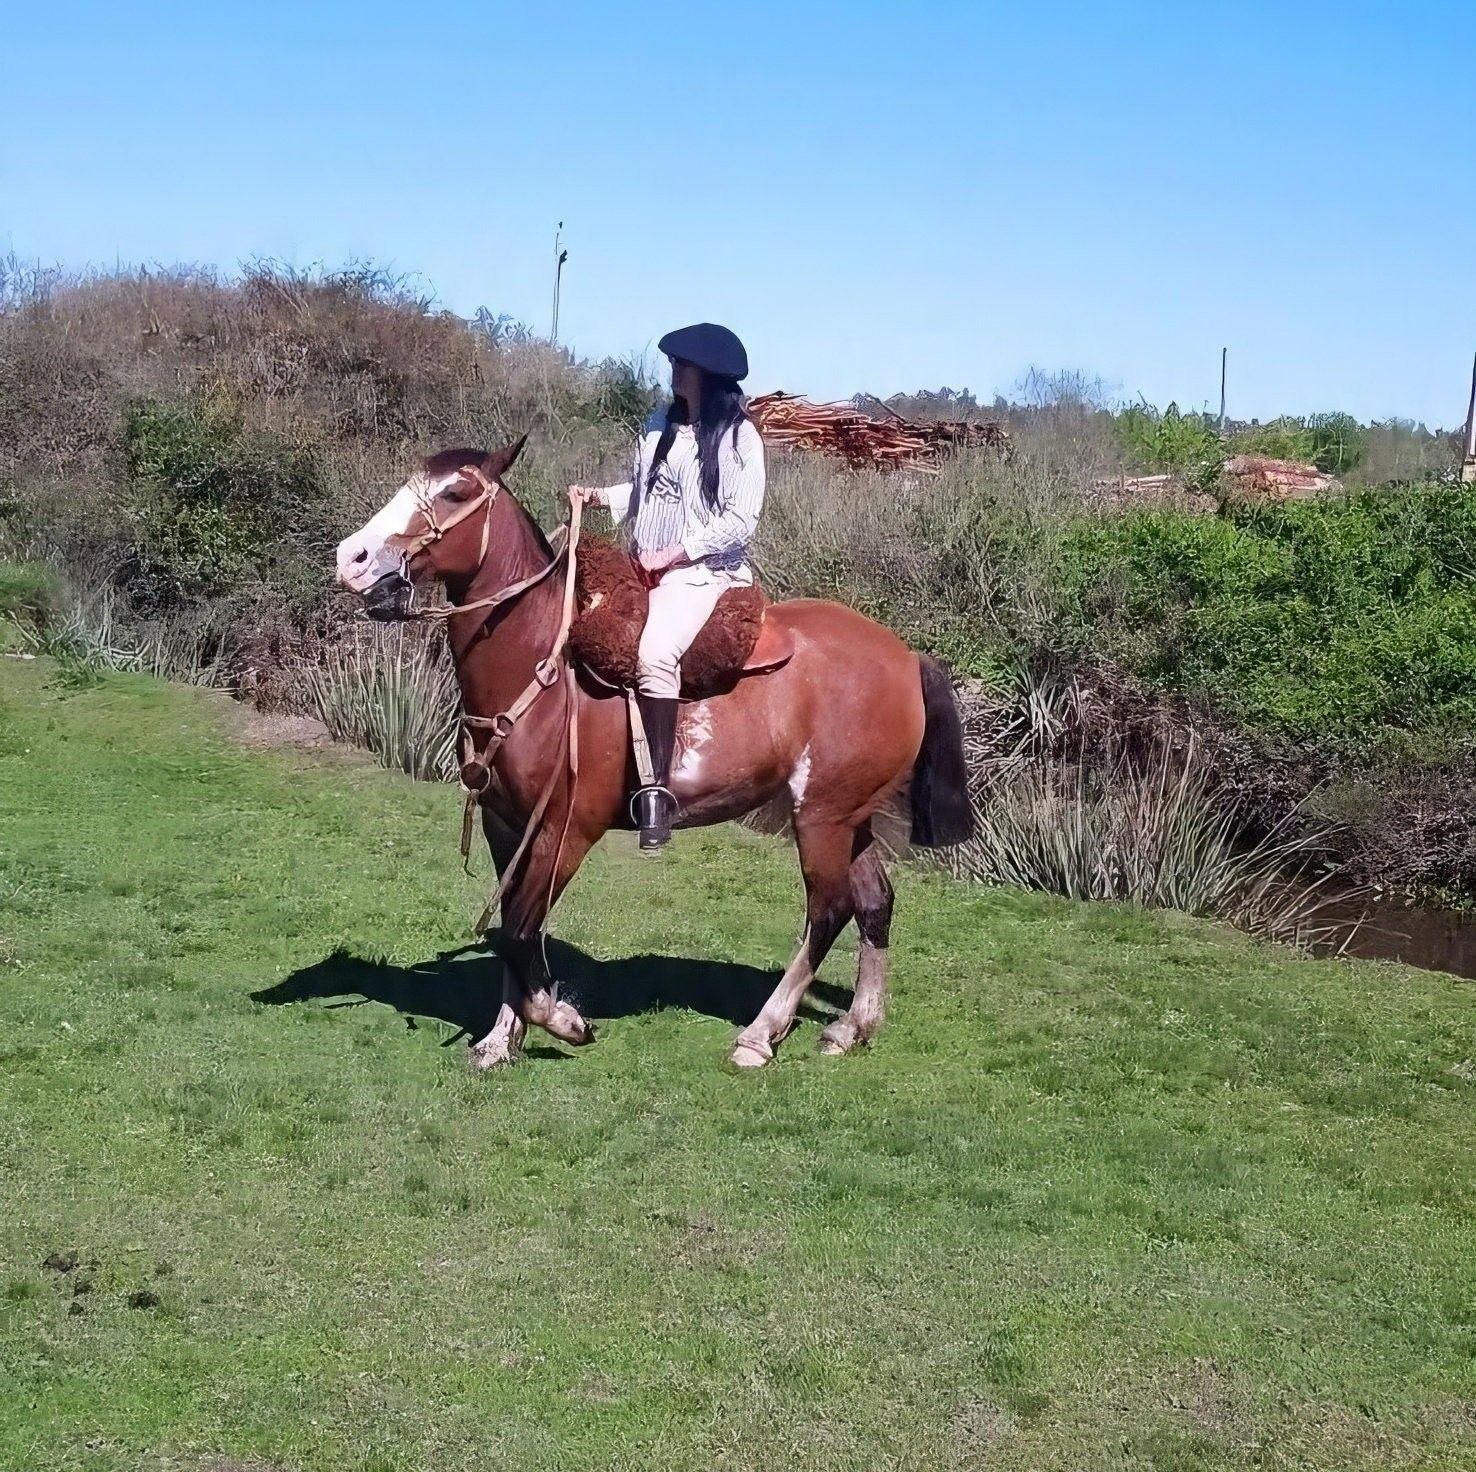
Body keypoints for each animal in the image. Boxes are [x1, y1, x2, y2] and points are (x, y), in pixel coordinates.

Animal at [334, 438, 972, 1068]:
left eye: (456, 492)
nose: (352, 558)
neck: (544, 669)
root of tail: (906, 657)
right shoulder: (505, 826)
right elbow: (516, 931)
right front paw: (499, 1039)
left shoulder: (567, 831)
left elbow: (519, 932)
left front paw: (563, 1021)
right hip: (849, 815)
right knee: (874, 903)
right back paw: (854, 1026)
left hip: (820, 817)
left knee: (828, 910)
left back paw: (761, 1033)